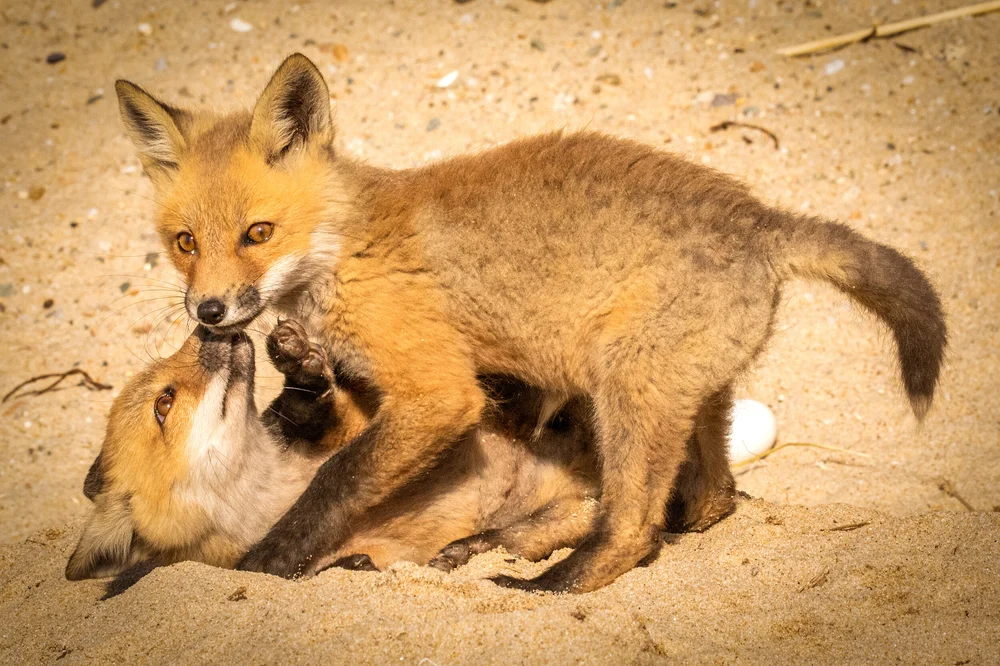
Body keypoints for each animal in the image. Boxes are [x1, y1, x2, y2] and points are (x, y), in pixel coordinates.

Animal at [66, 320, 604, 581]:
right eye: (164, 403)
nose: (205, 325)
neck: (278, 489)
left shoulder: (348, 432)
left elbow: (317, 416)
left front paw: (300, 368)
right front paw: (350, 564)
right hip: (563, 516)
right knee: (515, 539)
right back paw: (463, 551)